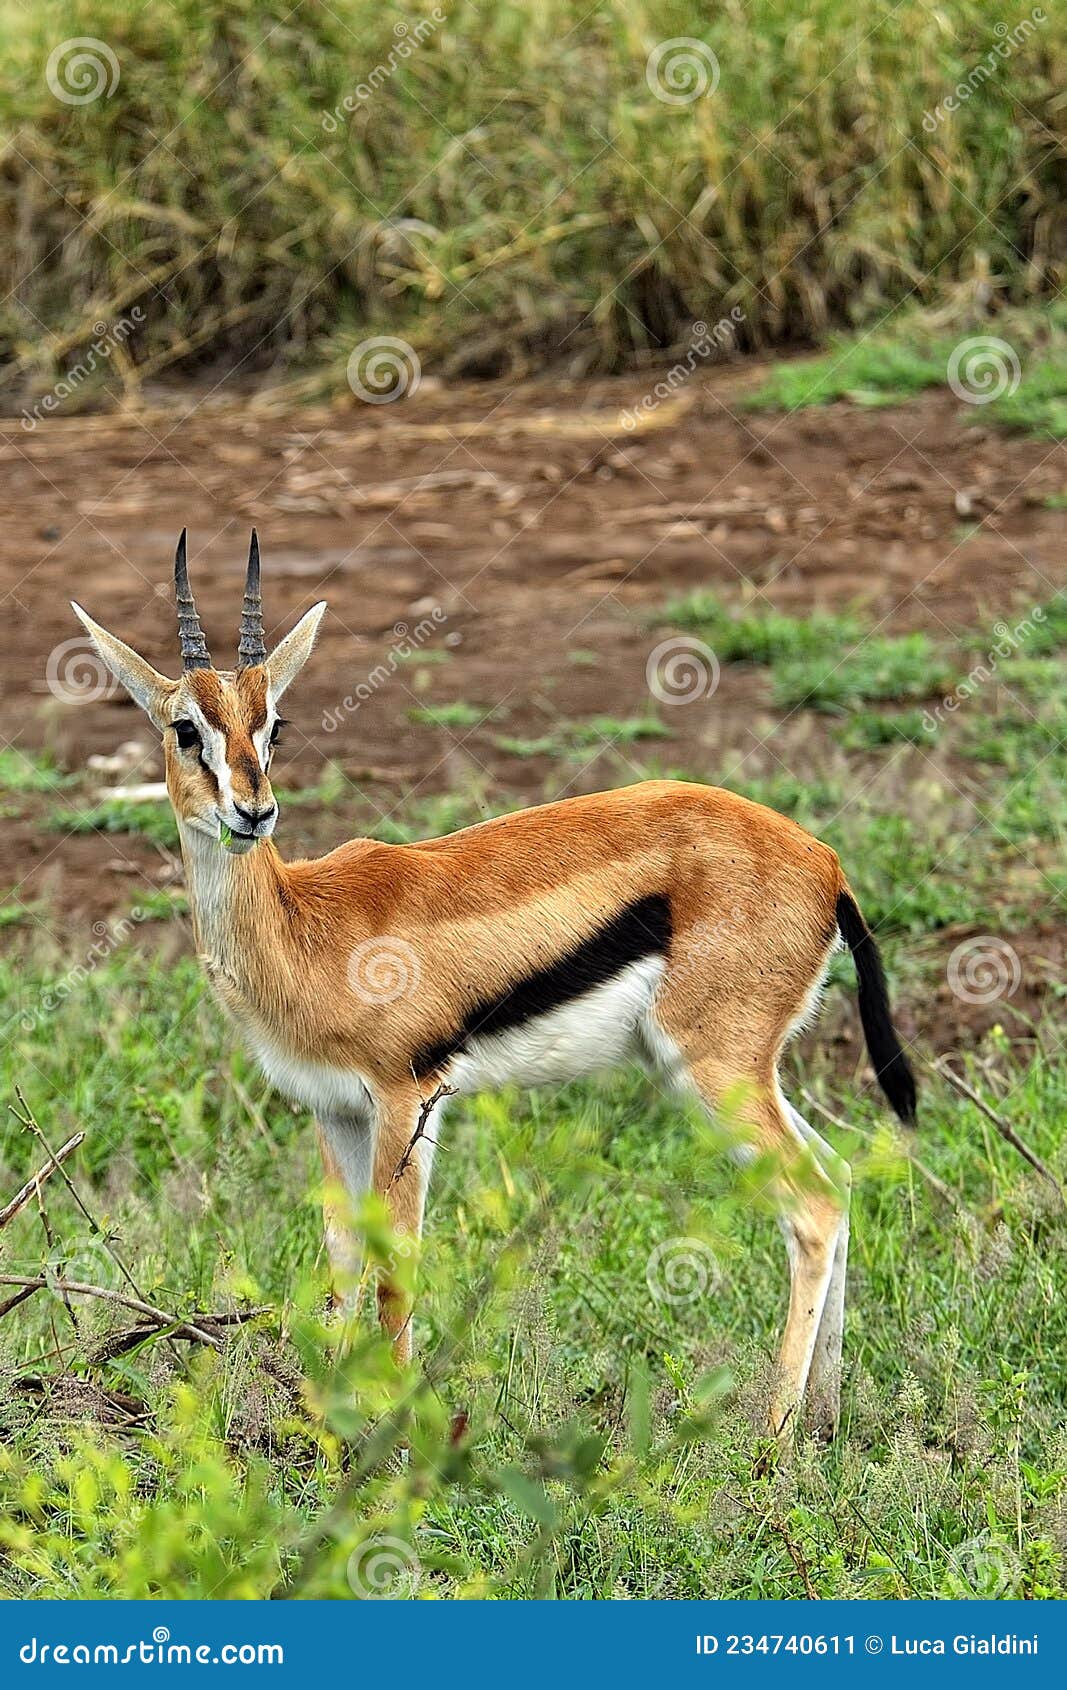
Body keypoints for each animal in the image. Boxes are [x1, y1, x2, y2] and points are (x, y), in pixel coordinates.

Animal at [71, 533, 916, 1441]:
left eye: (273, 722)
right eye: (185, 729)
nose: (253, 812)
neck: (303, 926)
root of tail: (825, 863)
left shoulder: (406, 1098)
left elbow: (394, 1273)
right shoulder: (332, 1111)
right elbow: (340, 1266)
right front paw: (322, 1427)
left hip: (713, 1070)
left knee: (811, 1205)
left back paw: (773, 1438)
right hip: (737, 1071)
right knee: (838, 1176)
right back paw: (827, 1417)